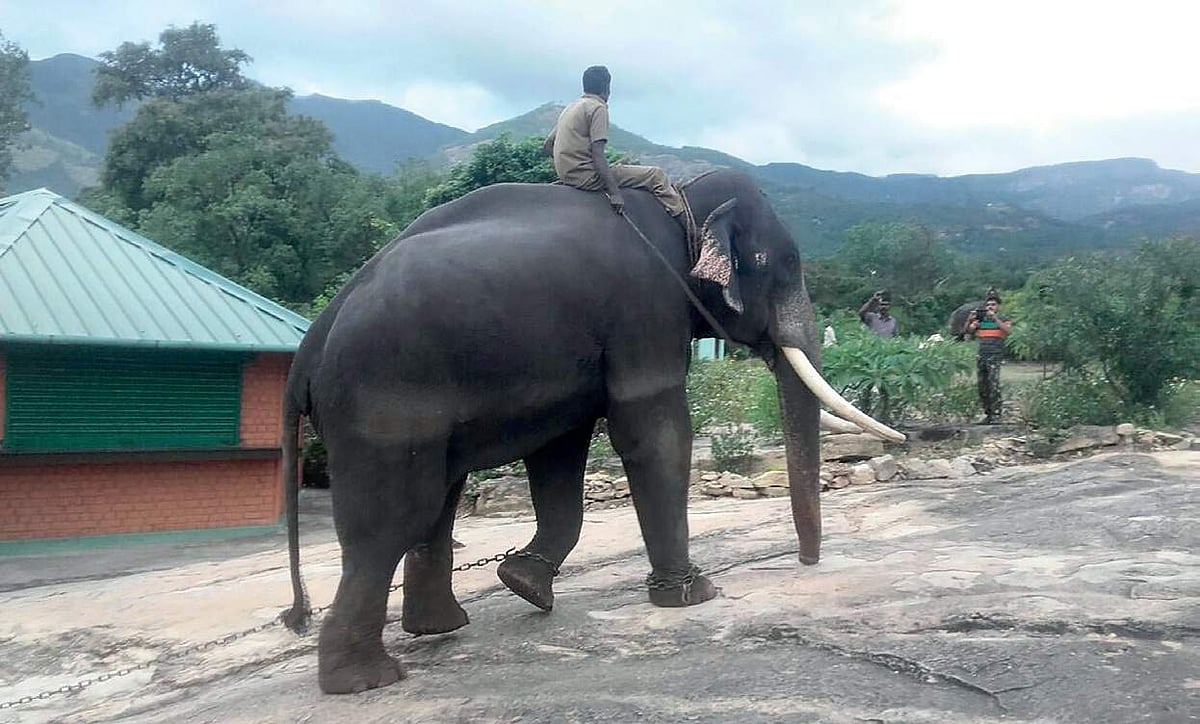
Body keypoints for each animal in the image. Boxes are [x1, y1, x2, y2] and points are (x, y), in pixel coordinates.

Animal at [279, 168, 902, 694]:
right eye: (781, 261)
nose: (807, 562)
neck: (681, 201)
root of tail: (308, 349)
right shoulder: (645, 311)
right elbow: (654, 430)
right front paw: (692, 595)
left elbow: (560, 451)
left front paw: (523, 583)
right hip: (382, 405)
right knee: (394, 521)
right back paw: (367, 680)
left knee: (436, 504)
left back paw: (440, 630)